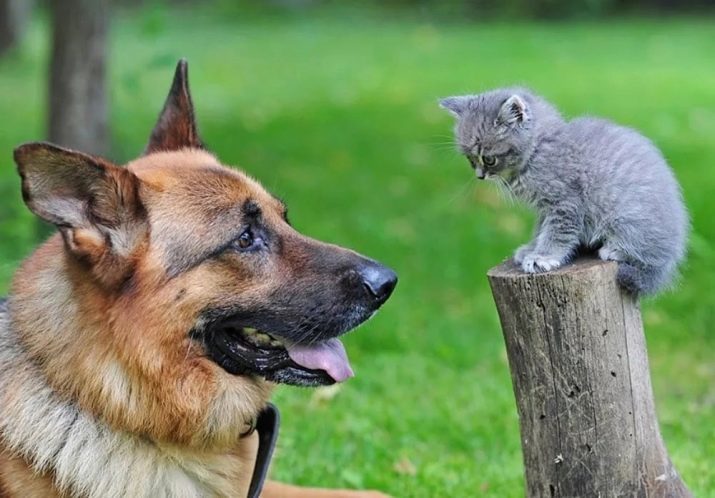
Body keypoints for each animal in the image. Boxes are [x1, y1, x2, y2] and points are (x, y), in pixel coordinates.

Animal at [442, 87, 688, 294]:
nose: (480, 176)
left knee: (646, 256)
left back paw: (615, 250)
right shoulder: (544, 208)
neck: (538, 150)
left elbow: (557, 232)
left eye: (488, 159)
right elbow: (540, 229)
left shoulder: (565, 202)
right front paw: (531, 249)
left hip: (628, 216)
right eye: (470, 160)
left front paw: (542, 256)